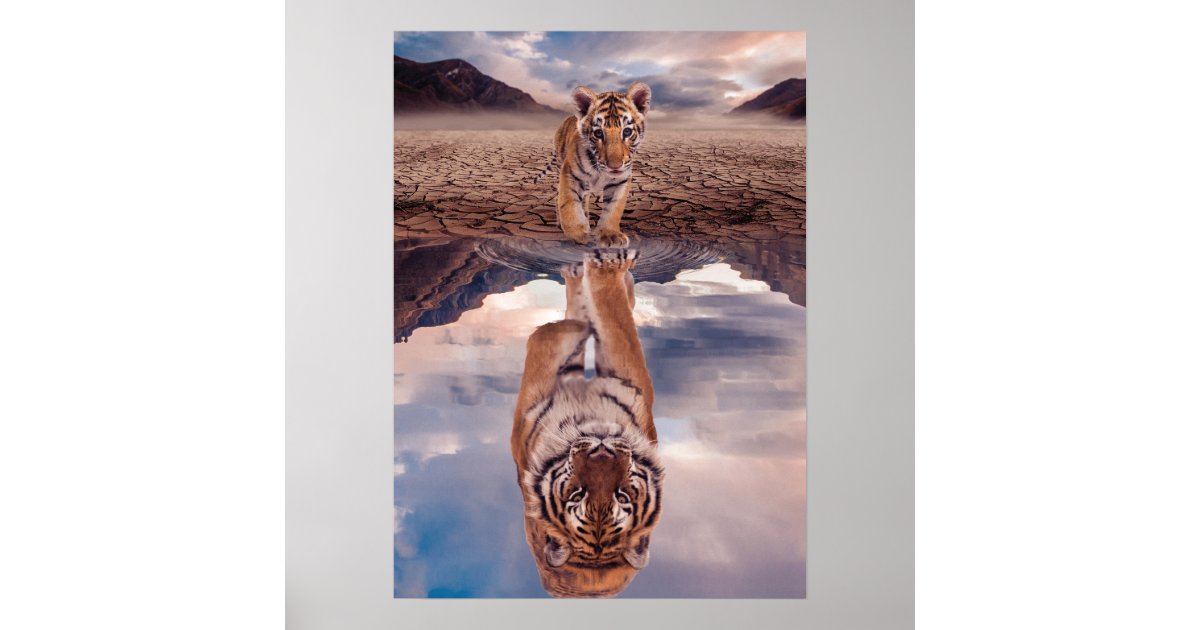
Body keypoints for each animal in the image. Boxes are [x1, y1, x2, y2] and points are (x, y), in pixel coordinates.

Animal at [510, 249, 663, 598]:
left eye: (623, 497)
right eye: (576, 496)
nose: (603, 451)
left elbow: (606, 319)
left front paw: (605, 272)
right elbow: (607, 318)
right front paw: (606, 271)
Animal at [544, 82, 652, 248]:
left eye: (627, 132)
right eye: (598, 133)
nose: (615, 166)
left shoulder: (620, 180)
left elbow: (613, 209)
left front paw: (610, 234)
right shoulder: (571, 173)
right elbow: (569, 202)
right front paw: (578, 233)